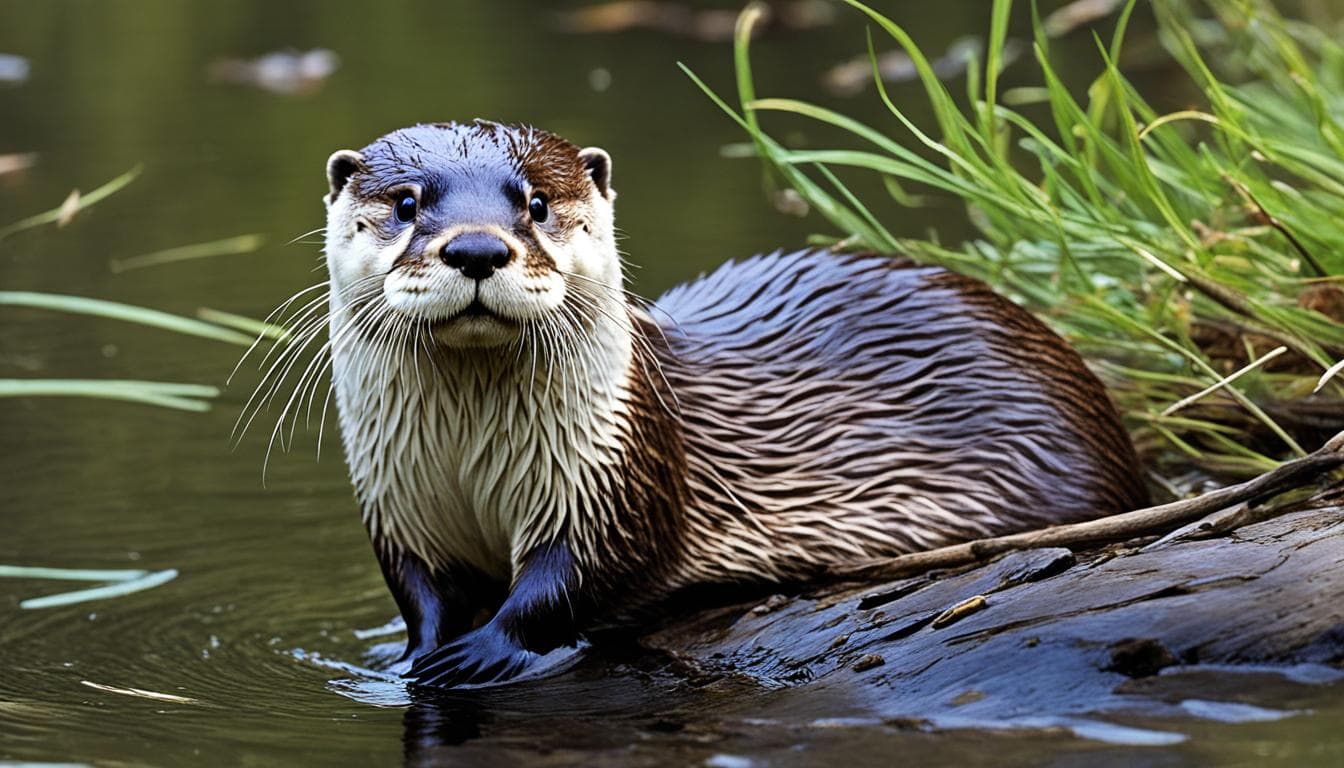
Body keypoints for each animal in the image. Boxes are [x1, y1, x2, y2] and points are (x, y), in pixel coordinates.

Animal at [318, 120, 1146, 687]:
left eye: (539, 203)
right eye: (405, 203)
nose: (477, 248)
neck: (468, 462)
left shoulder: (615, 475)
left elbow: (576, 577)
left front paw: (481, 652)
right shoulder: (398, 504)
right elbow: (421, 593)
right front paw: (415, 657)